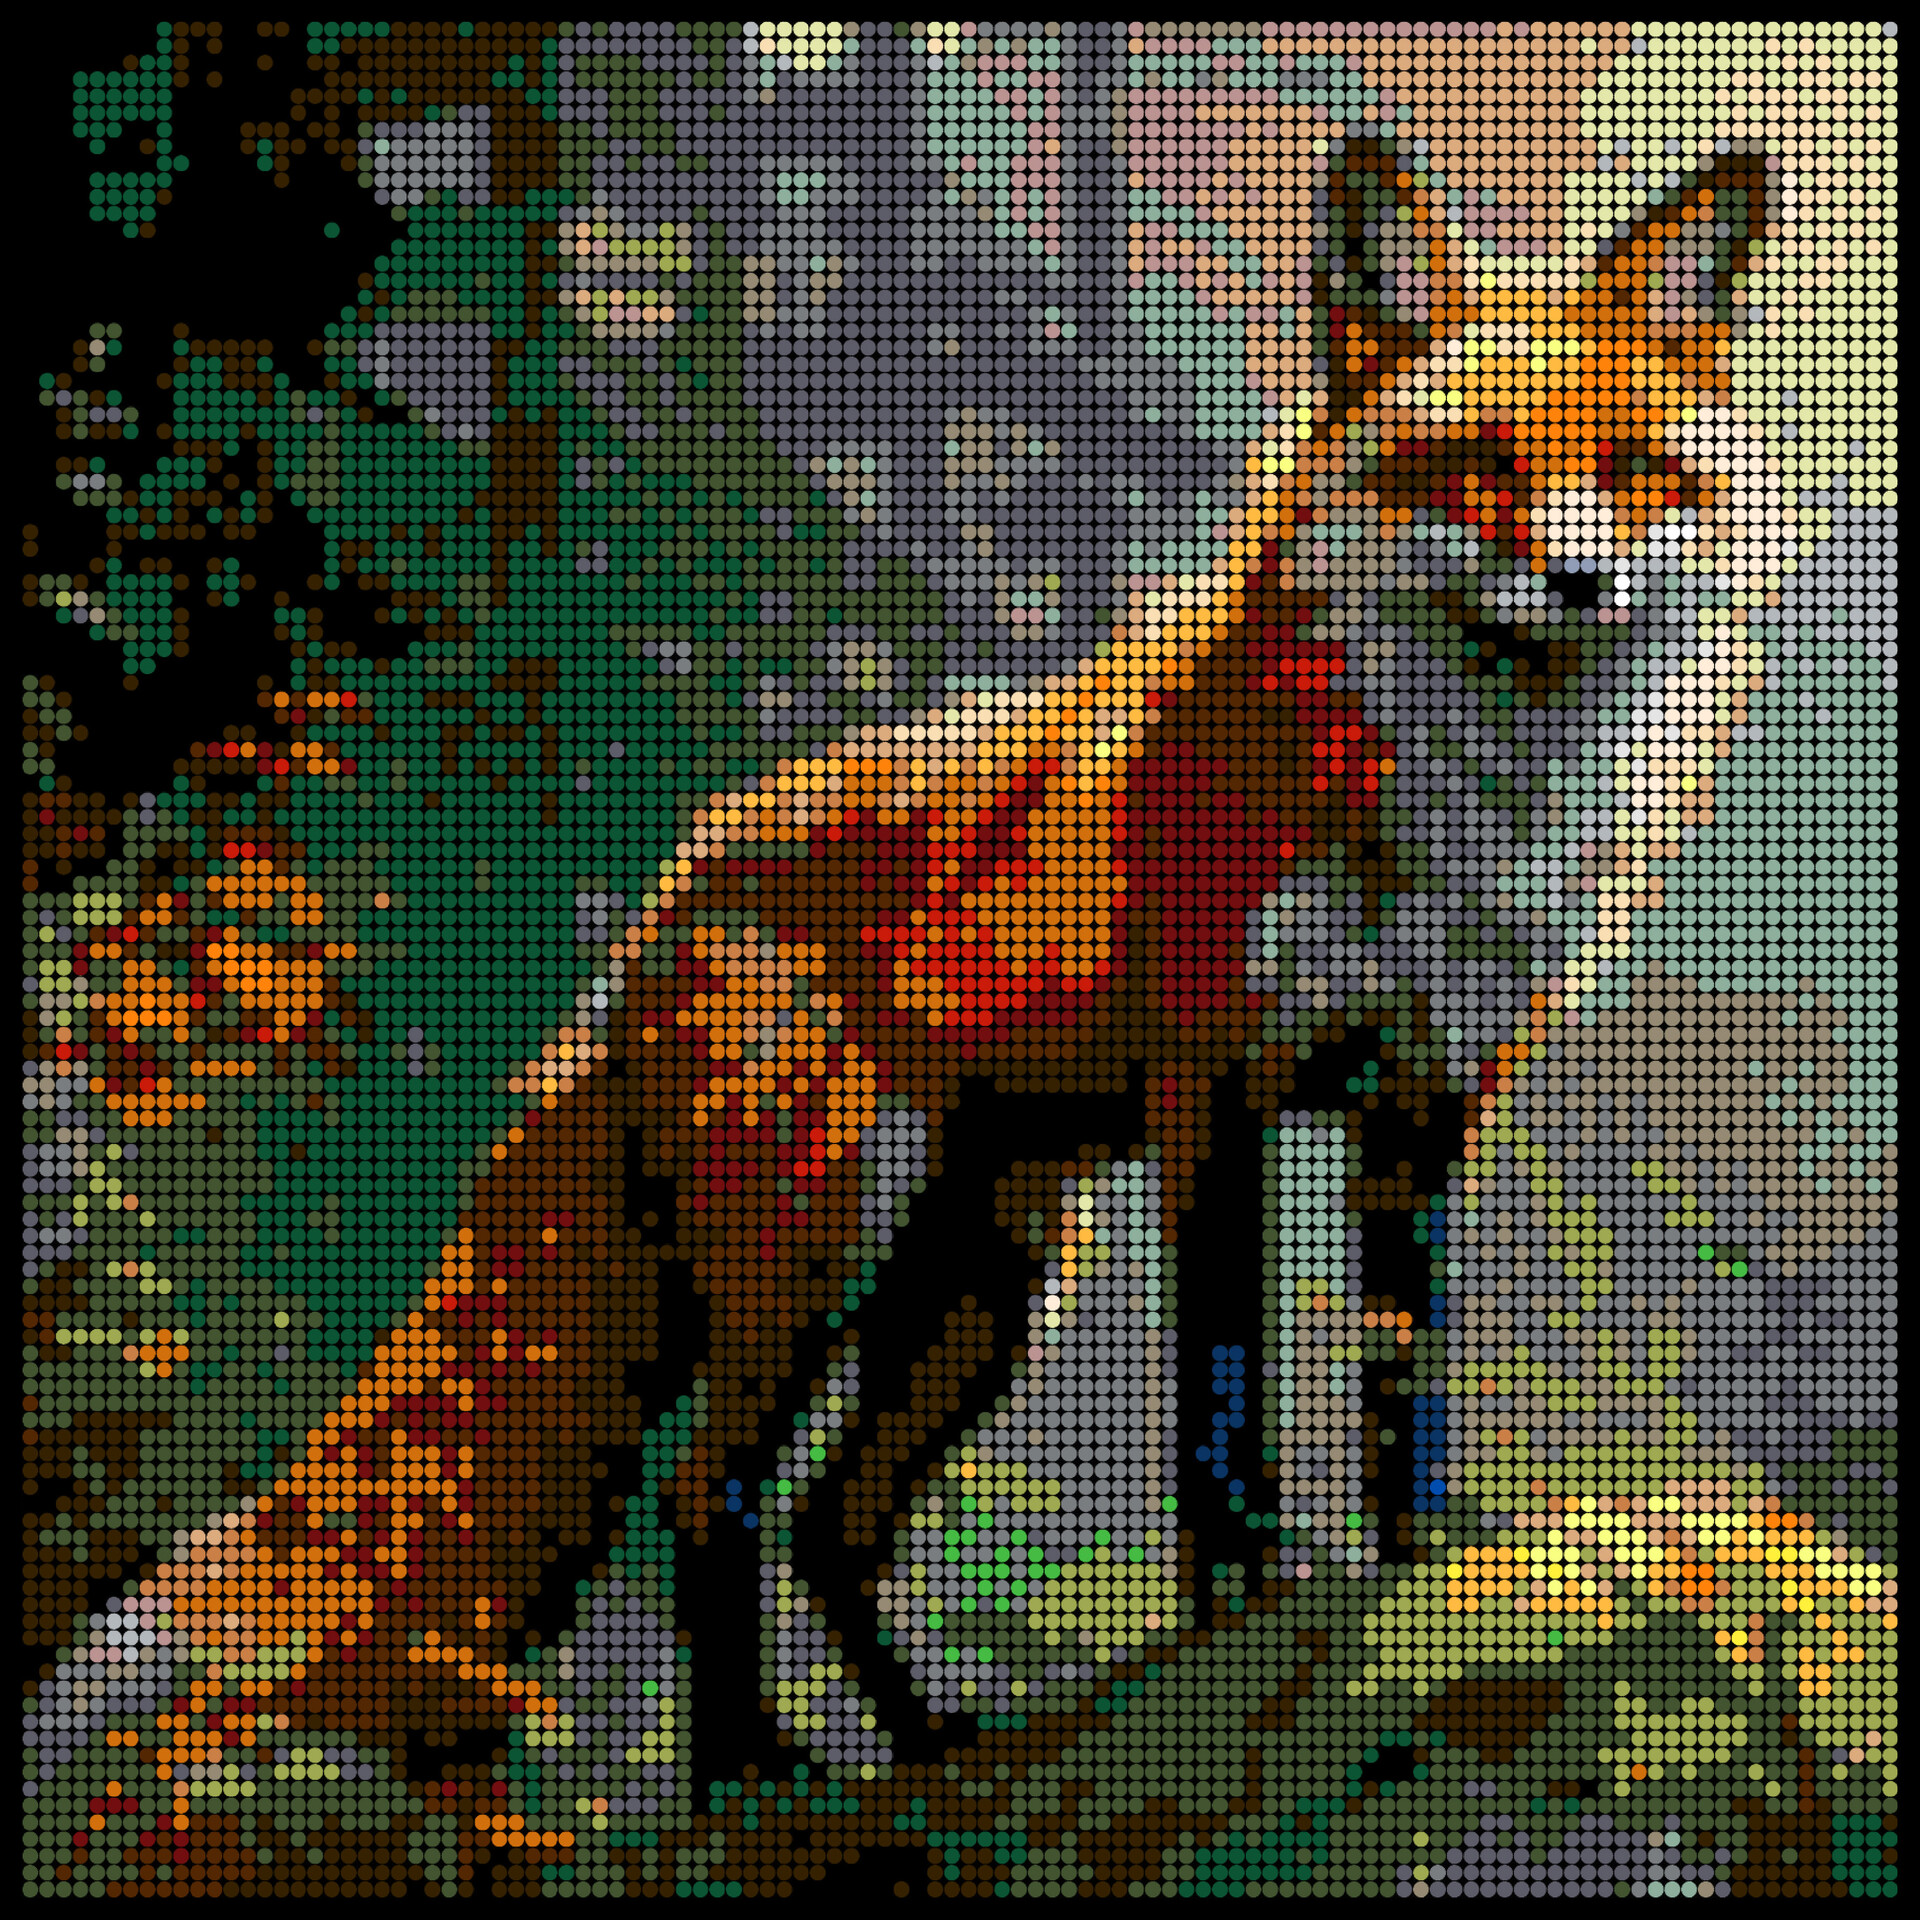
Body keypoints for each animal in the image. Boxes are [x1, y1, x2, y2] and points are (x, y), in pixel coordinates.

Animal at [30, 68, 1810, 1873]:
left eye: (1641, 473)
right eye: (1472, 471)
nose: (1582, 581)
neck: (1459, 816)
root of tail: (674, 884)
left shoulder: (1427, 1099)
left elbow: (1402, 1388)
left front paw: (1416, 1583)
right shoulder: (1218, 1089)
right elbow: (1222, 1404)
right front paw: (1243, 1619)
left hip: (986, 1282)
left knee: (834, 1523)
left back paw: (936, 1757)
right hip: (827, 1229)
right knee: (714, 1499)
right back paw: (754, 1779)